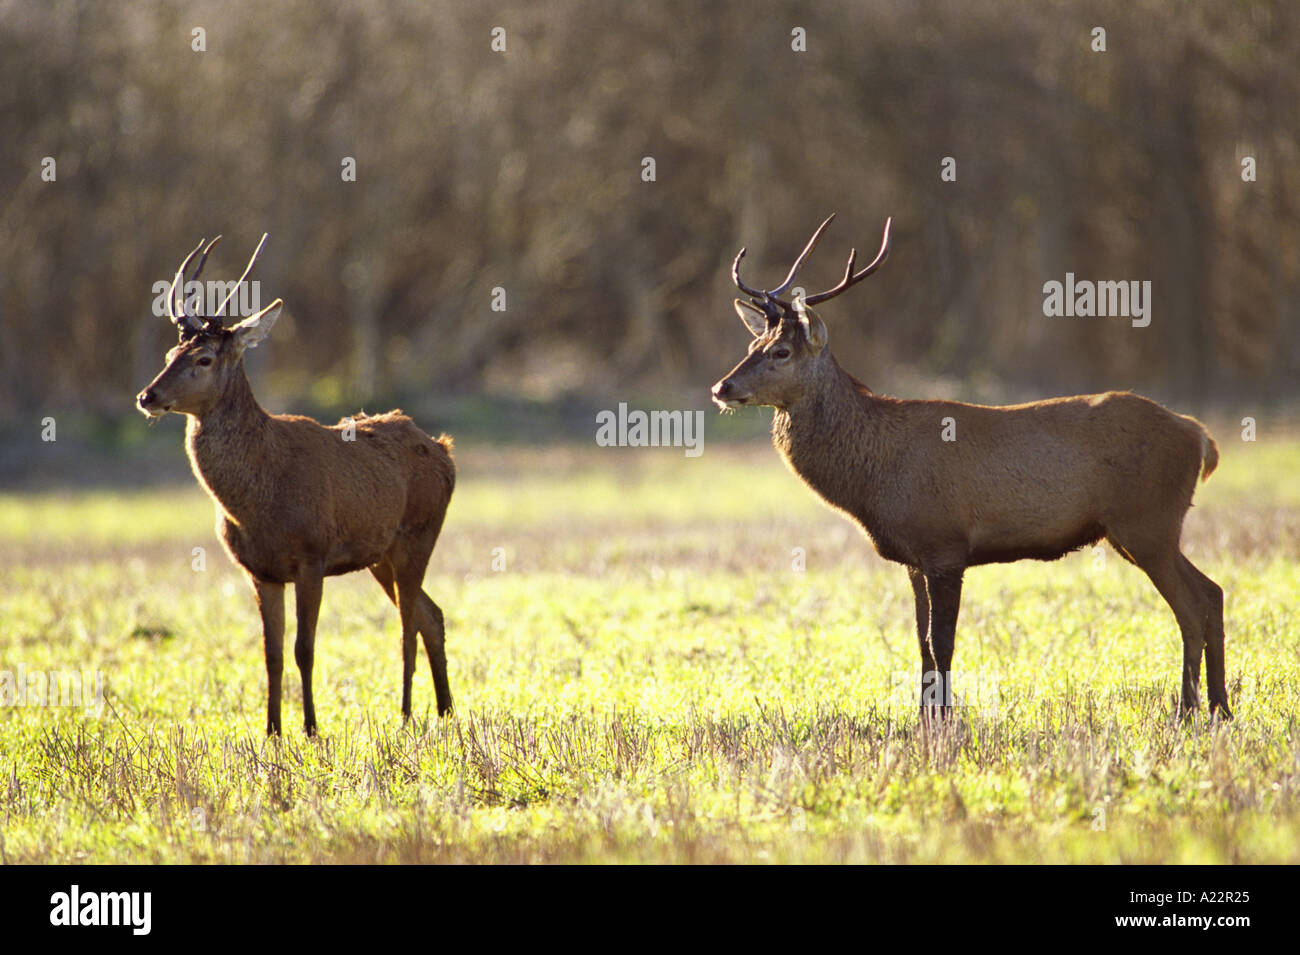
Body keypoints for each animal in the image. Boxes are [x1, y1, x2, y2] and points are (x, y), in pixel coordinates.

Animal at [137, 235, 456, 736]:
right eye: (170, 356)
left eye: (204, 359)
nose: (147, 396)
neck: (259, 498)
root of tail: (445, 452)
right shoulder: (261, 571)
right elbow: (271, 654)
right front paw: (271, 732)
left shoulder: (312, 555)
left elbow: (304, 649)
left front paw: (310, 728)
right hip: (380, 555)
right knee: (432, 615)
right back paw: (445, 711)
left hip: (418, 534)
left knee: (408, 625)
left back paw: (406, 716)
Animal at [711, 214, 1231, 722]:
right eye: (753, 344)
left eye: (781, 352)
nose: (722, 387)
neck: (875, 476)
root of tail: (1199, 436)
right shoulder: (914, 557)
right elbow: (921, 643)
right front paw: (925, 721)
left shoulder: (945, 544)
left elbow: (941, 642)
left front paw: (948, 722)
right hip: (1141, 529)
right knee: (1213, 592)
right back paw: (1219, 708)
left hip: (1147, 521)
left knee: (1193, 605)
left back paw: (1187, 711)